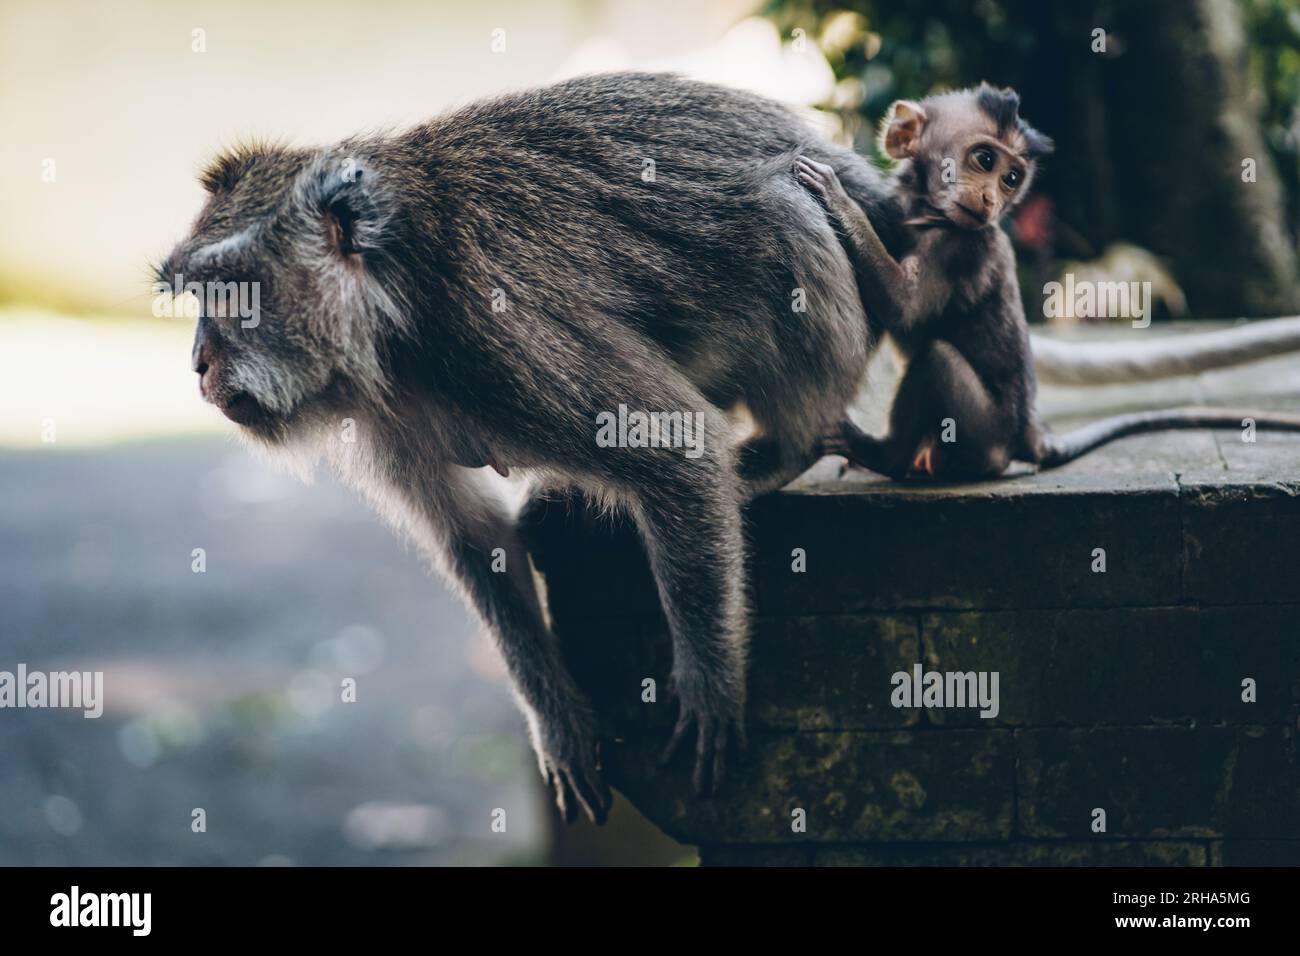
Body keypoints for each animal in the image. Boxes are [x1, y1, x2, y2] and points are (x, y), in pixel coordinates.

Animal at [158, 72, 914, 823]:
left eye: (235, 292)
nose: (197, 363)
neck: (392, 307)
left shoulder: (496, 337)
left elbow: (679, 448)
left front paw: (710, 685)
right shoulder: (382, 416)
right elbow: (476, 539)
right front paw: (559, 724)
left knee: (781, 207)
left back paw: (789, 445)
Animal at [795, 84, 1300, 481]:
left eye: (1011, 177)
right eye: (984, 159)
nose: (991, 200)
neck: (929, 214)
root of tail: (1027, 432)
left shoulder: (962, 247)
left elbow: (903, 306)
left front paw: (838, 199)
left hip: (986, 433)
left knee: (937, 358)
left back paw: (887, 456)